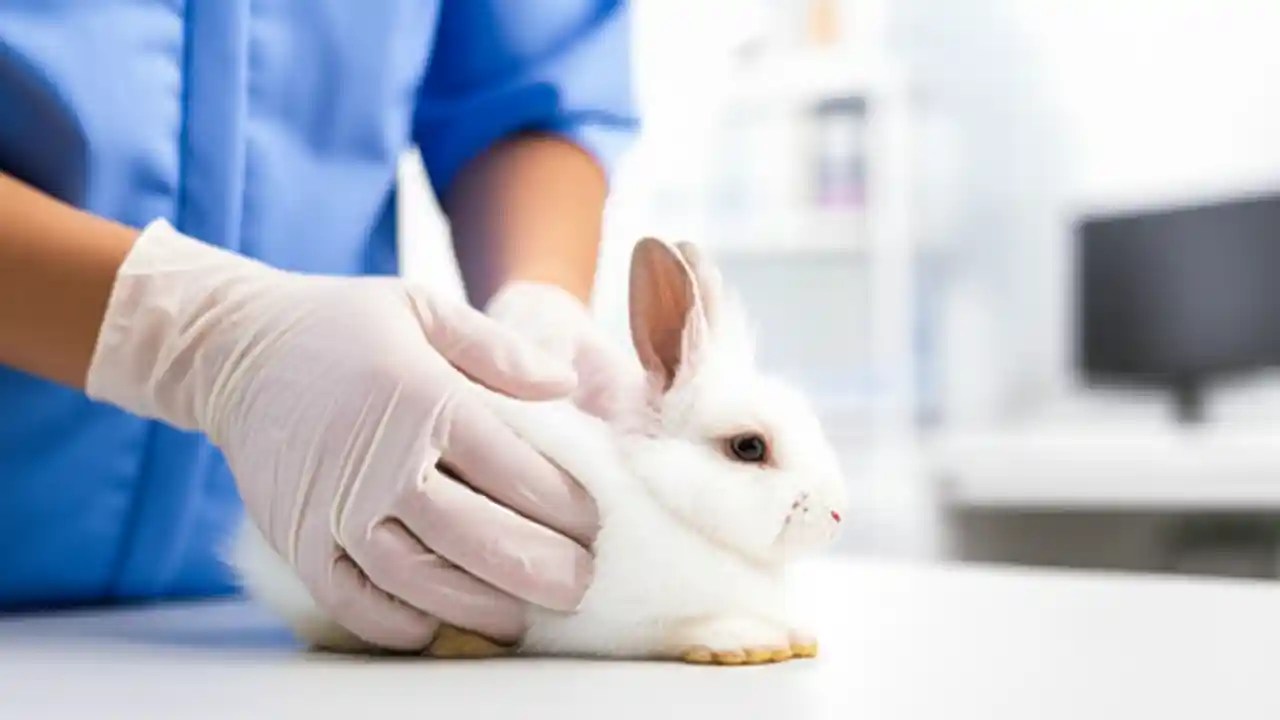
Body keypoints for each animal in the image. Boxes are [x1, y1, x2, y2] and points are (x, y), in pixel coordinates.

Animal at [232, 237, 848, 664]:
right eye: (749, 447)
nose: (838, 513)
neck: (667, 504)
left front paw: (796, 637)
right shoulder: (617, 622)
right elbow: (683, 627)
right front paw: (742, 641)